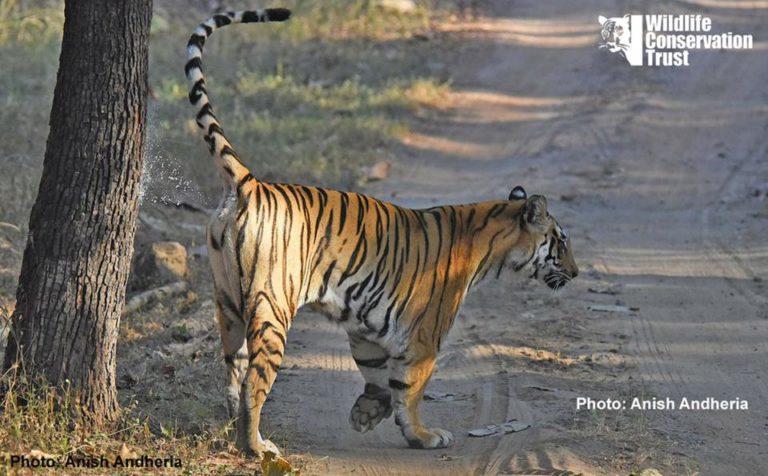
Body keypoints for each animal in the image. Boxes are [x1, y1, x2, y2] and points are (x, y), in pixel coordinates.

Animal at [185, 8, 578, 456]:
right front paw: (424, 435)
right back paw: (257, 446)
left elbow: (381, 382)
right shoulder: (425, 338)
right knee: (255, 381)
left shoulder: (368, 332)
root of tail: (250, 182)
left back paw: (236, 434)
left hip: (228, 304)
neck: (492, 234)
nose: (576, 271)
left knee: (233, 373)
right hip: (272, 308)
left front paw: (365, 415)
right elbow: (411, 391)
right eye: (561, 241)